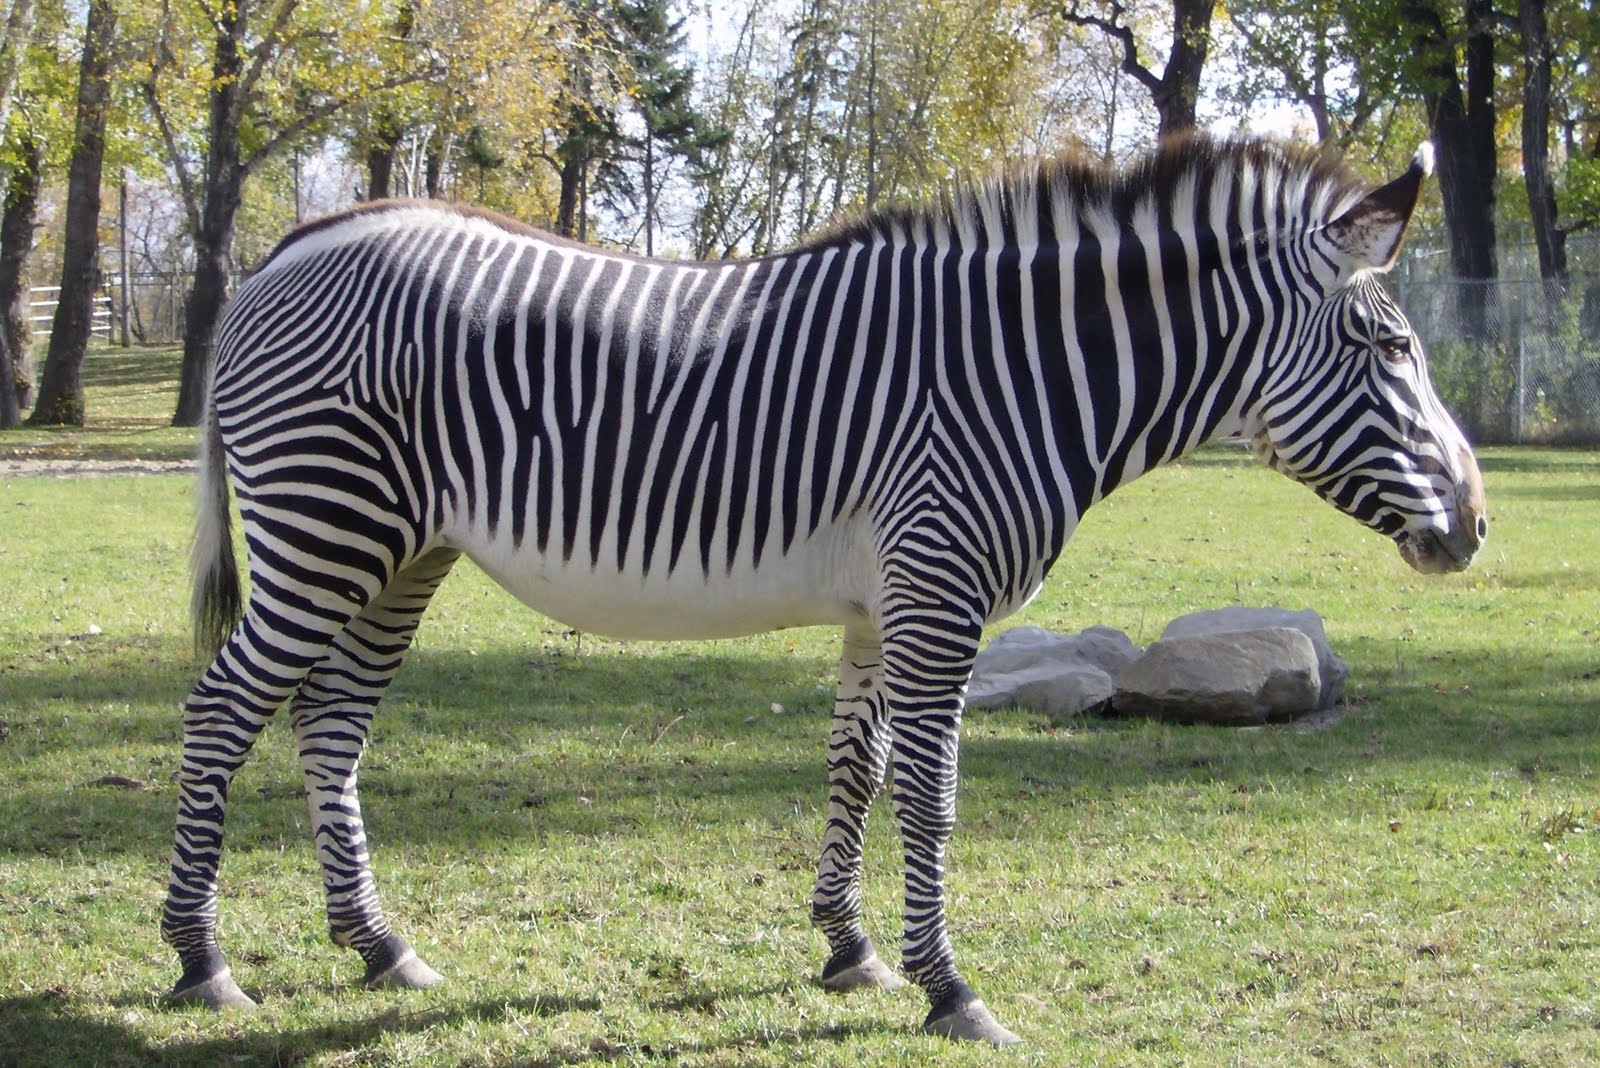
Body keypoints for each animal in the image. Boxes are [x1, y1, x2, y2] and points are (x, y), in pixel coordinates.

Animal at [163, 135, 1485, 1044]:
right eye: (1391, 349)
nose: (1475, 527)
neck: (1020, 376)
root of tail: (295, 243)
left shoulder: (881, 606)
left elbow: (858, 768)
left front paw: (850, 950)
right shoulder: (941, 591)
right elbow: (934, 797)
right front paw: (953, 991)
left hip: (401, 550)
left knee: (329, 724)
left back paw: (378, 947)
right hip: (324, 524)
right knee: (221, 713)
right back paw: (201, 961)